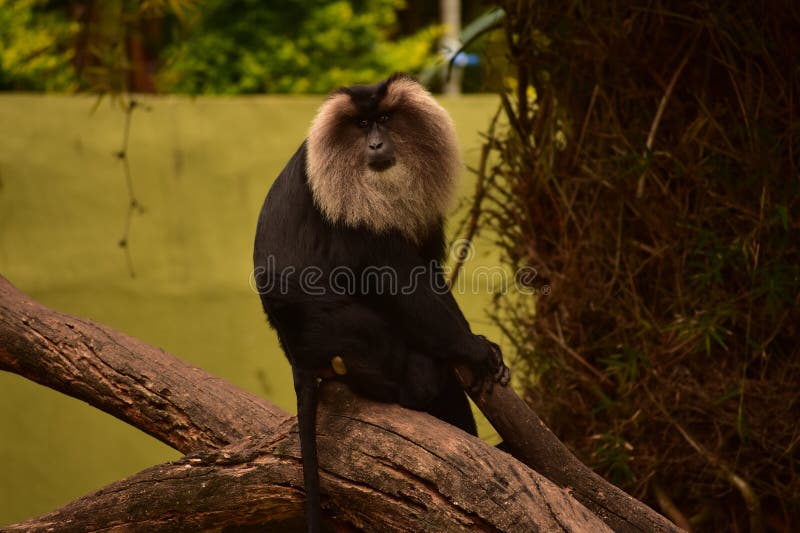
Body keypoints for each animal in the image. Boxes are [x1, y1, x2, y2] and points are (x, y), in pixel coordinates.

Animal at [253, 73, 509, 532]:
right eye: (361, 125)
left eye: (385, 120)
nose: (374, 144)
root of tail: (295, 354)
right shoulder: (353, 215)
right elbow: (395, 281)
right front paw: (474, 349)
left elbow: (429, 274)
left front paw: (479, 345)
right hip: (342, 334)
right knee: (409, 362)